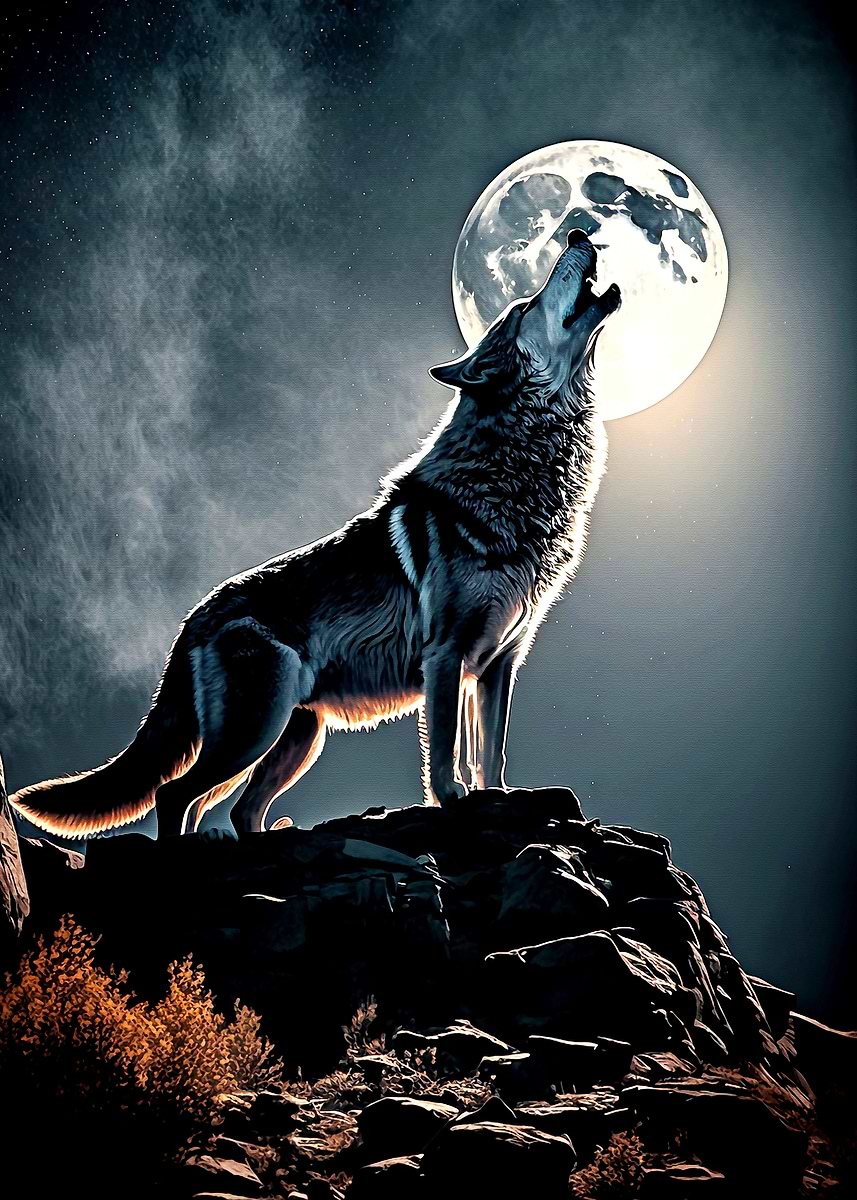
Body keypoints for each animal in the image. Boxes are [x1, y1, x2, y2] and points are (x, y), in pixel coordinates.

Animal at [9, 230, 621, 839]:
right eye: (524, 307)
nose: (576, 233)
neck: (516, 471)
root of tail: (191, 621)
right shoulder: (446, 656)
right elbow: (446, 751)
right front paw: (453, 802)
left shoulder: (499, 665)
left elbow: (491, 753)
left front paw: (499, 799)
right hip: (256, 734)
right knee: (174, 792)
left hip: (295, 739)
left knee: (233, 809)